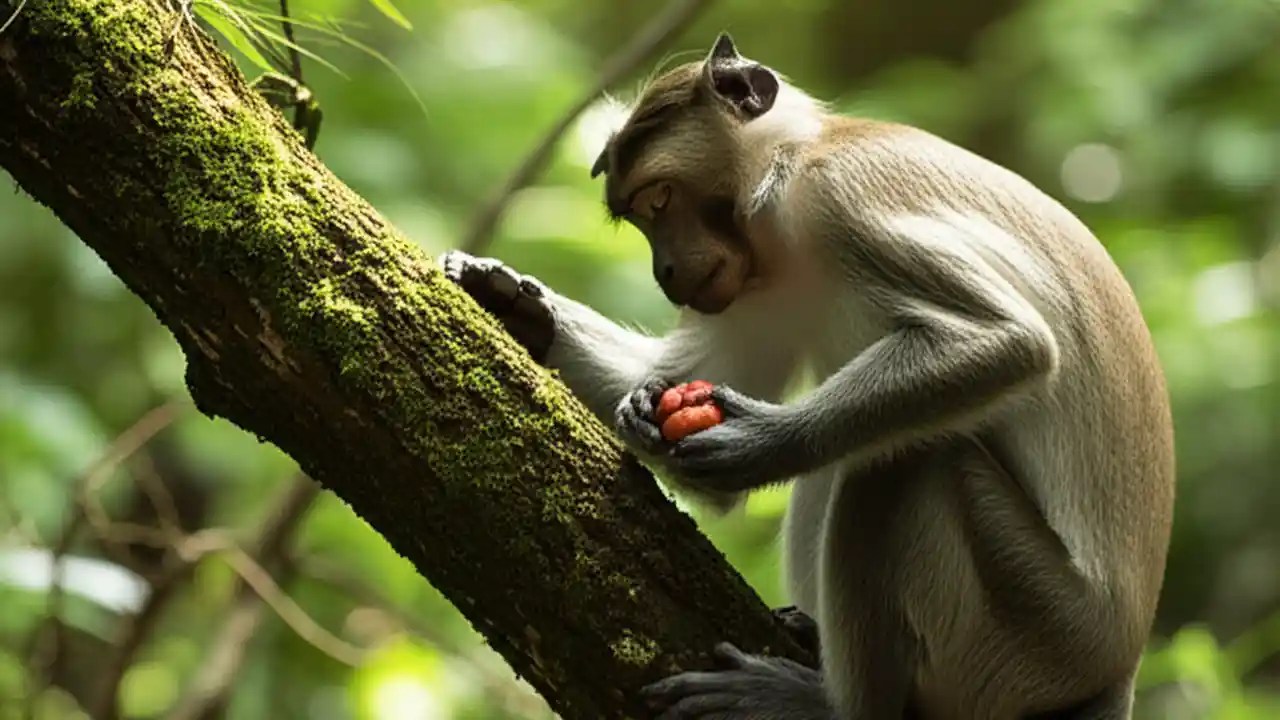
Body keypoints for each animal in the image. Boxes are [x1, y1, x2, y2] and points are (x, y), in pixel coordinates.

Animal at [441, 32, 1175, 720]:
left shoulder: (838, 198)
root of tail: (1120, 663)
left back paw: (827, 704)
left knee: (901, 466)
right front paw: (516, 306)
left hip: (1036, 634)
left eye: (660, 200)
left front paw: (756, 442)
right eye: (642, 215)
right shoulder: (751, 282)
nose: (666, 272)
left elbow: (1004, 342)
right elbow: (710, 400)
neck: (783, 186)